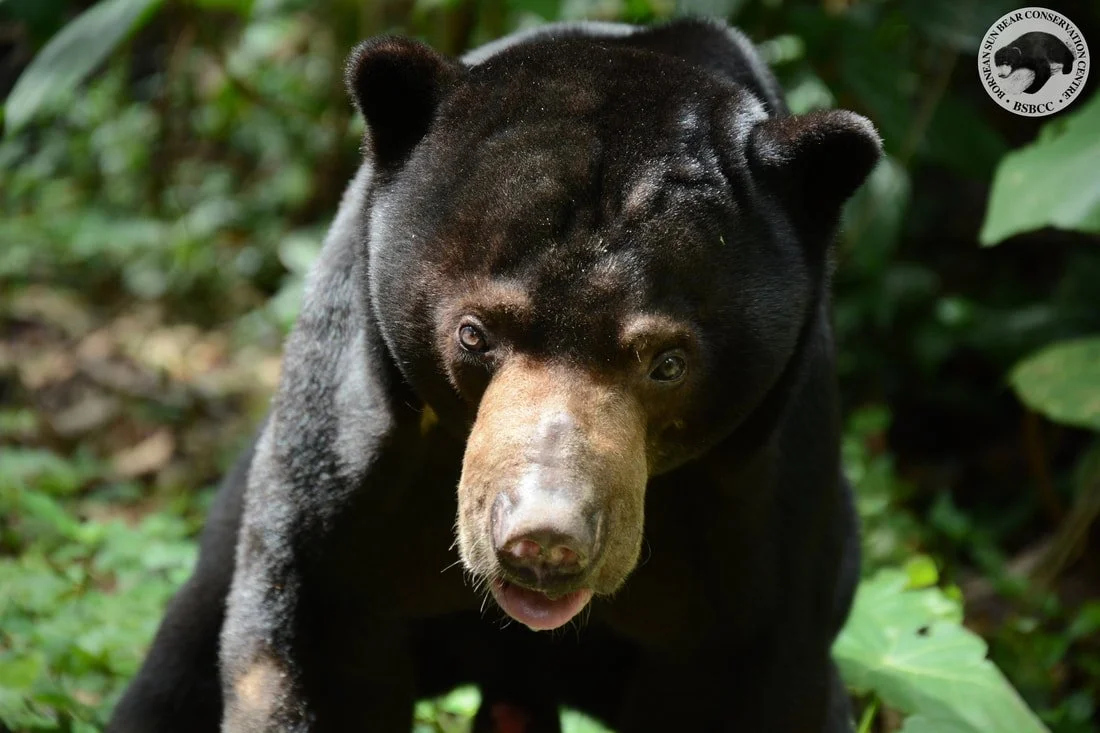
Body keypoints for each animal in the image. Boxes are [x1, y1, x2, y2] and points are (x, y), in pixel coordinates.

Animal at [107, 17, 880, 733]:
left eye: (667, 362)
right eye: (474, 333)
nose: (546, 538)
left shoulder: (758, 505)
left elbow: (752, 679)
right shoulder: (349, 446)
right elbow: (309, 646)